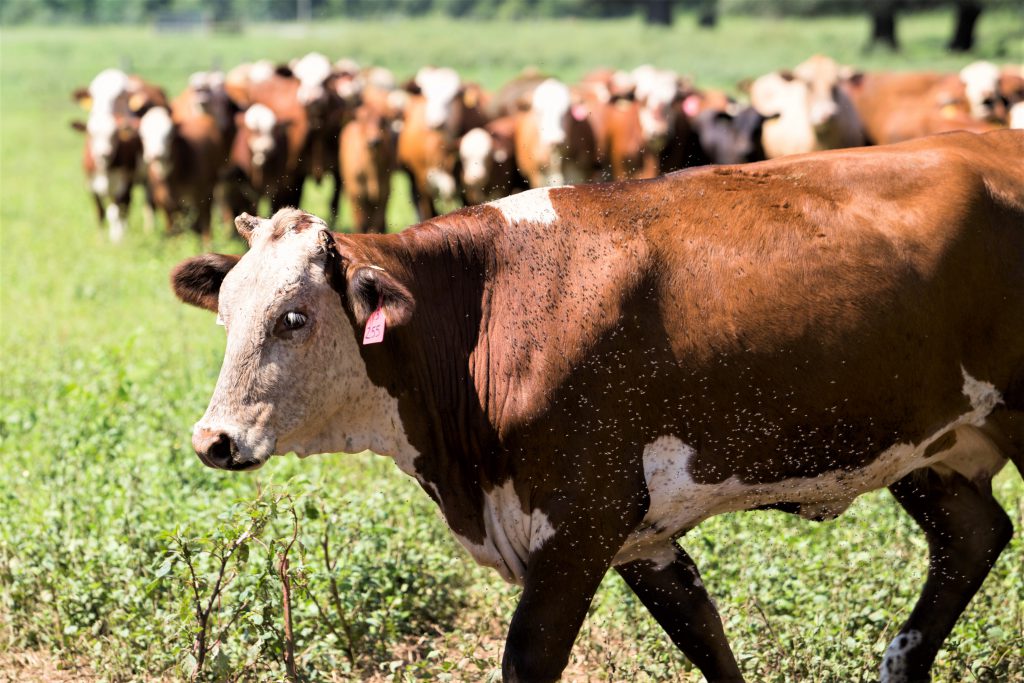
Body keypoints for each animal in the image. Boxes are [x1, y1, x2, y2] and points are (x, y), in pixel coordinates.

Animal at [172, 130, 1023, 683]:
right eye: (226, 314)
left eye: (294, 317)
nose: (213, 439)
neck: (485, 312)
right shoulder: (642, 536)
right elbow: (706, 637)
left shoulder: (580, 525)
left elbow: (530, 659)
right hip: (930, 442)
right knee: (974, 534)